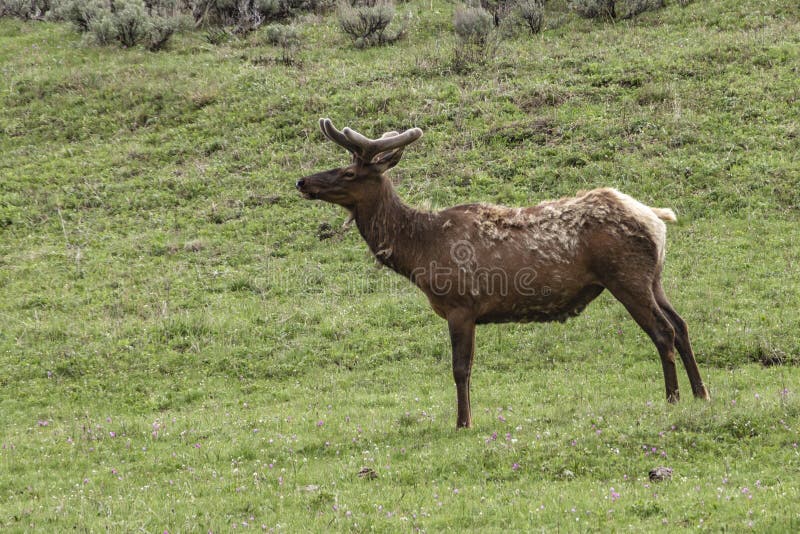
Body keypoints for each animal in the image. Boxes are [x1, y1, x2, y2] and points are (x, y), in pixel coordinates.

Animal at [296, 118, 710, 428]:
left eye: (349, 172)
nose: (302, 181)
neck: (420, 252)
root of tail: (656, 217)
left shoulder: (461, 305)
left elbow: (460, 368)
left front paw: (463, 422)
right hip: (654, 278)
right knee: (682, 324)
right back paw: (701, 393)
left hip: (626, 277)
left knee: (664, 330)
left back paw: (672, 399)